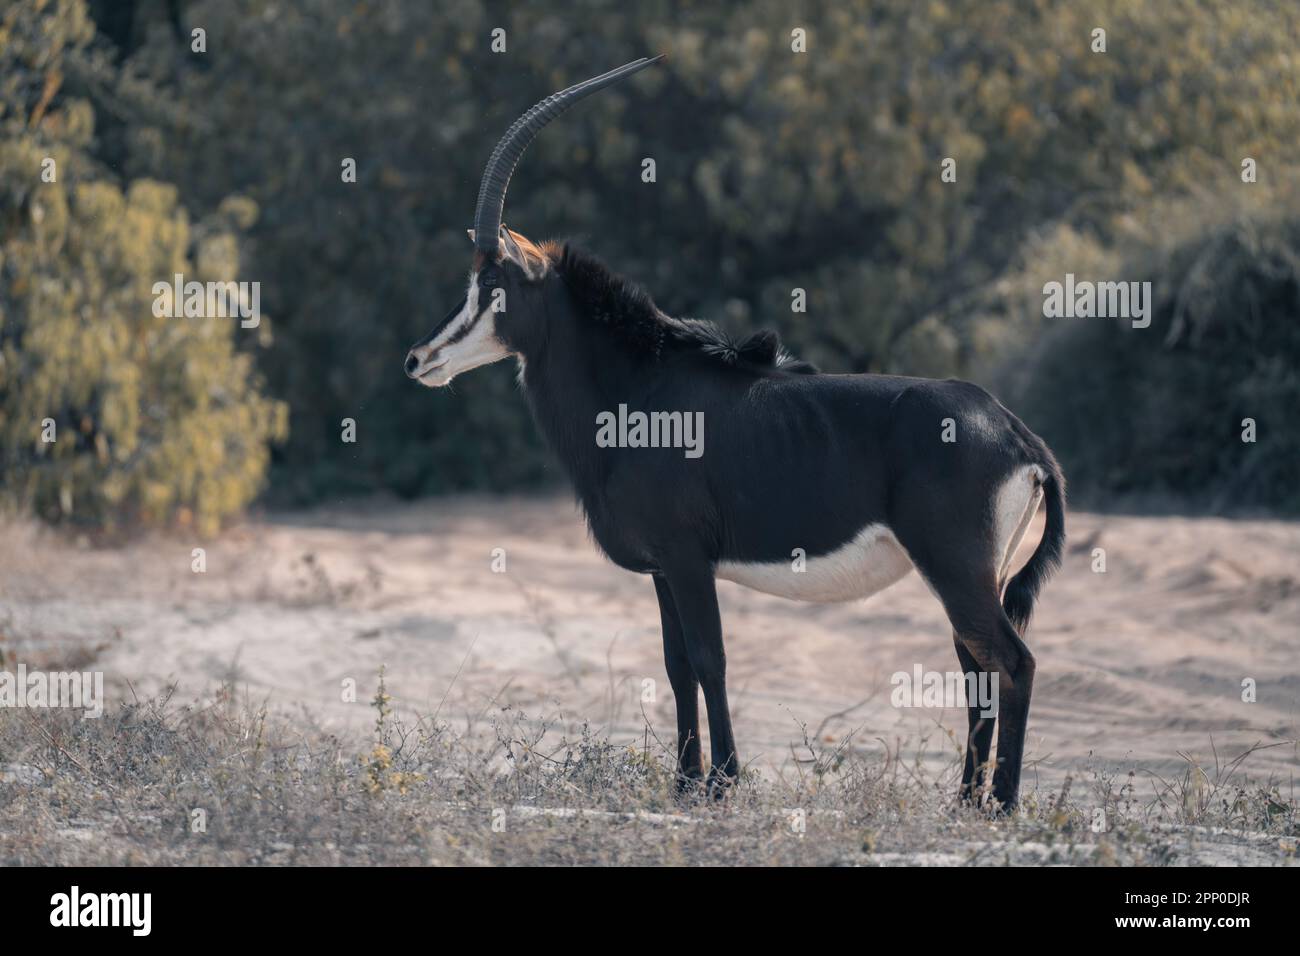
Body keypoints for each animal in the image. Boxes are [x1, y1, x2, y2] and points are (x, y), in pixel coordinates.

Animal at [405, 57, 1065, 810]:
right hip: (975, 576)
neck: (640, 388)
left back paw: (1002, 804)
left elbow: (710, 659)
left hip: (956, 569)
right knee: (978, 665)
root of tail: (1019, 436)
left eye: (495, 289)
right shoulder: (664, 570)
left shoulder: (688, 559)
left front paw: (721, 781)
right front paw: (685, 781)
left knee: (1012, 662)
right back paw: (963, 802)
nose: (418, 359)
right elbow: (675, 665)